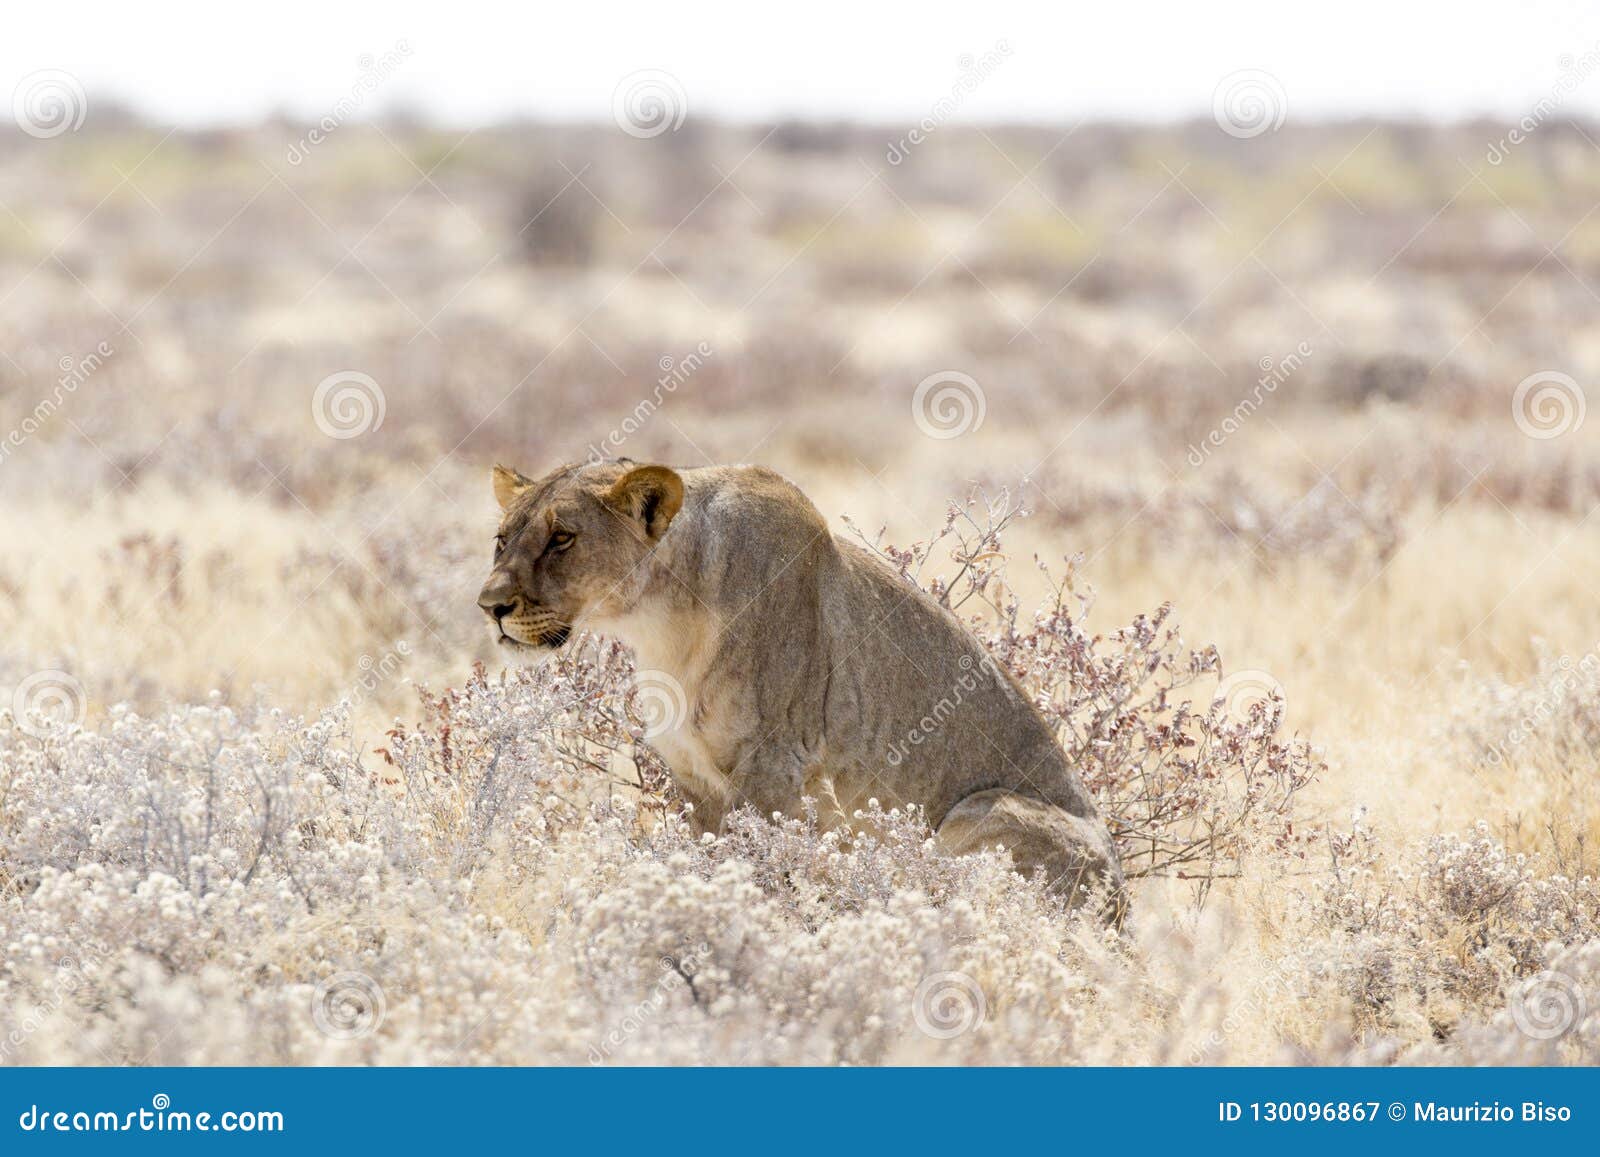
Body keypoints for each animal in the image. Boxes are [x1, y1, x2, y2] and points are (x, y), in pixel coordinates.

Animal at [477, 458, 1125, 912]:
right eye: (501, 539)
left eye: (562, 538)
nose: (491, 607)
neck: (660, 623)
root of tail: (1123, 917)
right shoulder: (692, 778)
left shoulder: (772, 767)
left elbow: (754, 874)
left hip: (979, 816)